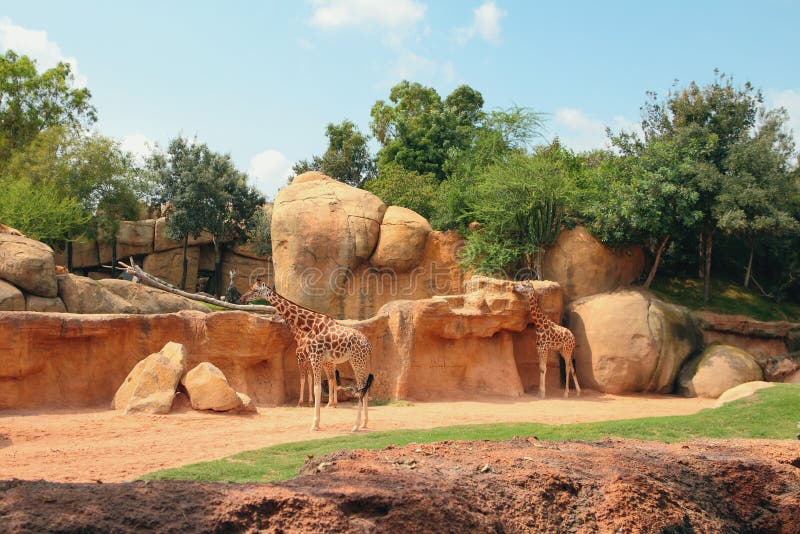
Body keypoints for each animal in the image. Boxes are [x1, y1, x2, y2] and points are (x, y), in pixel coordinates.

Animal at [240, 280, 373, 432]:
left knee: (361, 387)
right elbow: (316, 385)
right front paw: (317, 419)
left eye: (254, 290)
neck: (310, 324)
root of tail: (368, 345)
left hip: (357, 360)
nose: (242, 299)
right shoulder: (316, 359)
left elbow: (316, 388)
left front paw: (315, 424)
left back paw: (355, 425)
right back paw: (364, 423)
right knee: (364, 387)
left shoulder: (315, 357)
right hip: (362, 361)